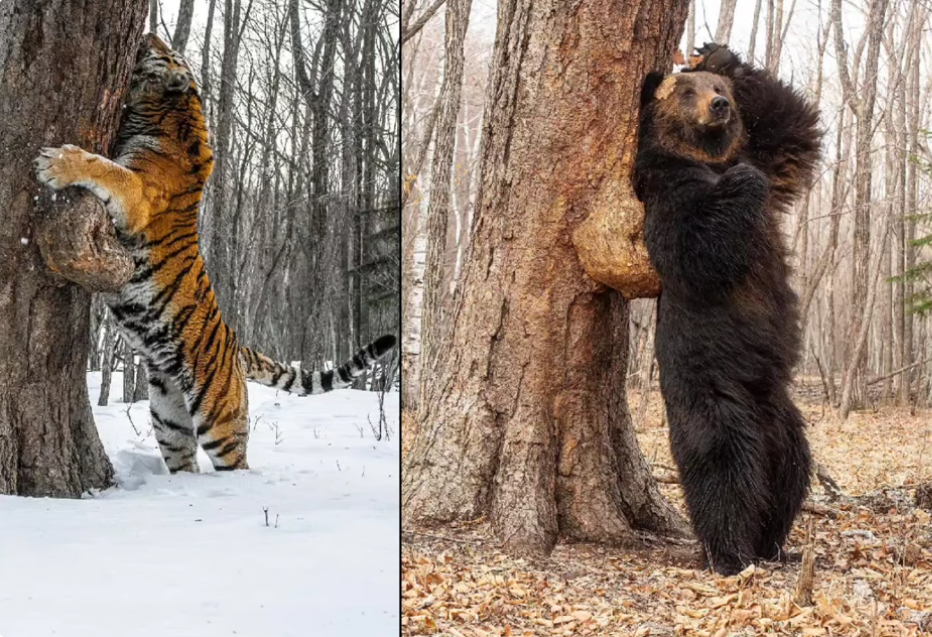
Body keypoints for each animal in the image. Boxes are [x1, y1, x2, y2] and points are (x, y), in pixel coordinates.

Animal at [34, 33, 396, 473]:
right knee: (182, 458)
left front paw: (56, 161)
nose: (147, 35)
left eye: (168, 52)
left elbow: (105, 167)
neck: (168, 111)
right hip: (167, 416)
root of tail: (238, 348)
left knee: (235, 462)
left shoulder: (137, 194)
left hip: (218, 419)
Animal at [632, 43, 821, 575]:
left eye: (718, 89)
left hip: (782, 414)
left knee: (791, 470)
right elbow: (696, 246)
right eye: (685, 92)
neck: (706, 158)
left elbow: (793, 130)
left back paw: (775, 542)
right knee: (725, 467)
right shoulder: (667, 193)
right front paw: (741, 180)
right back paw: (732, 551)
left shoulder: (767, 158)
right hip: (714, 390)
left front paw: (721, 53)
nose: (719, 106)